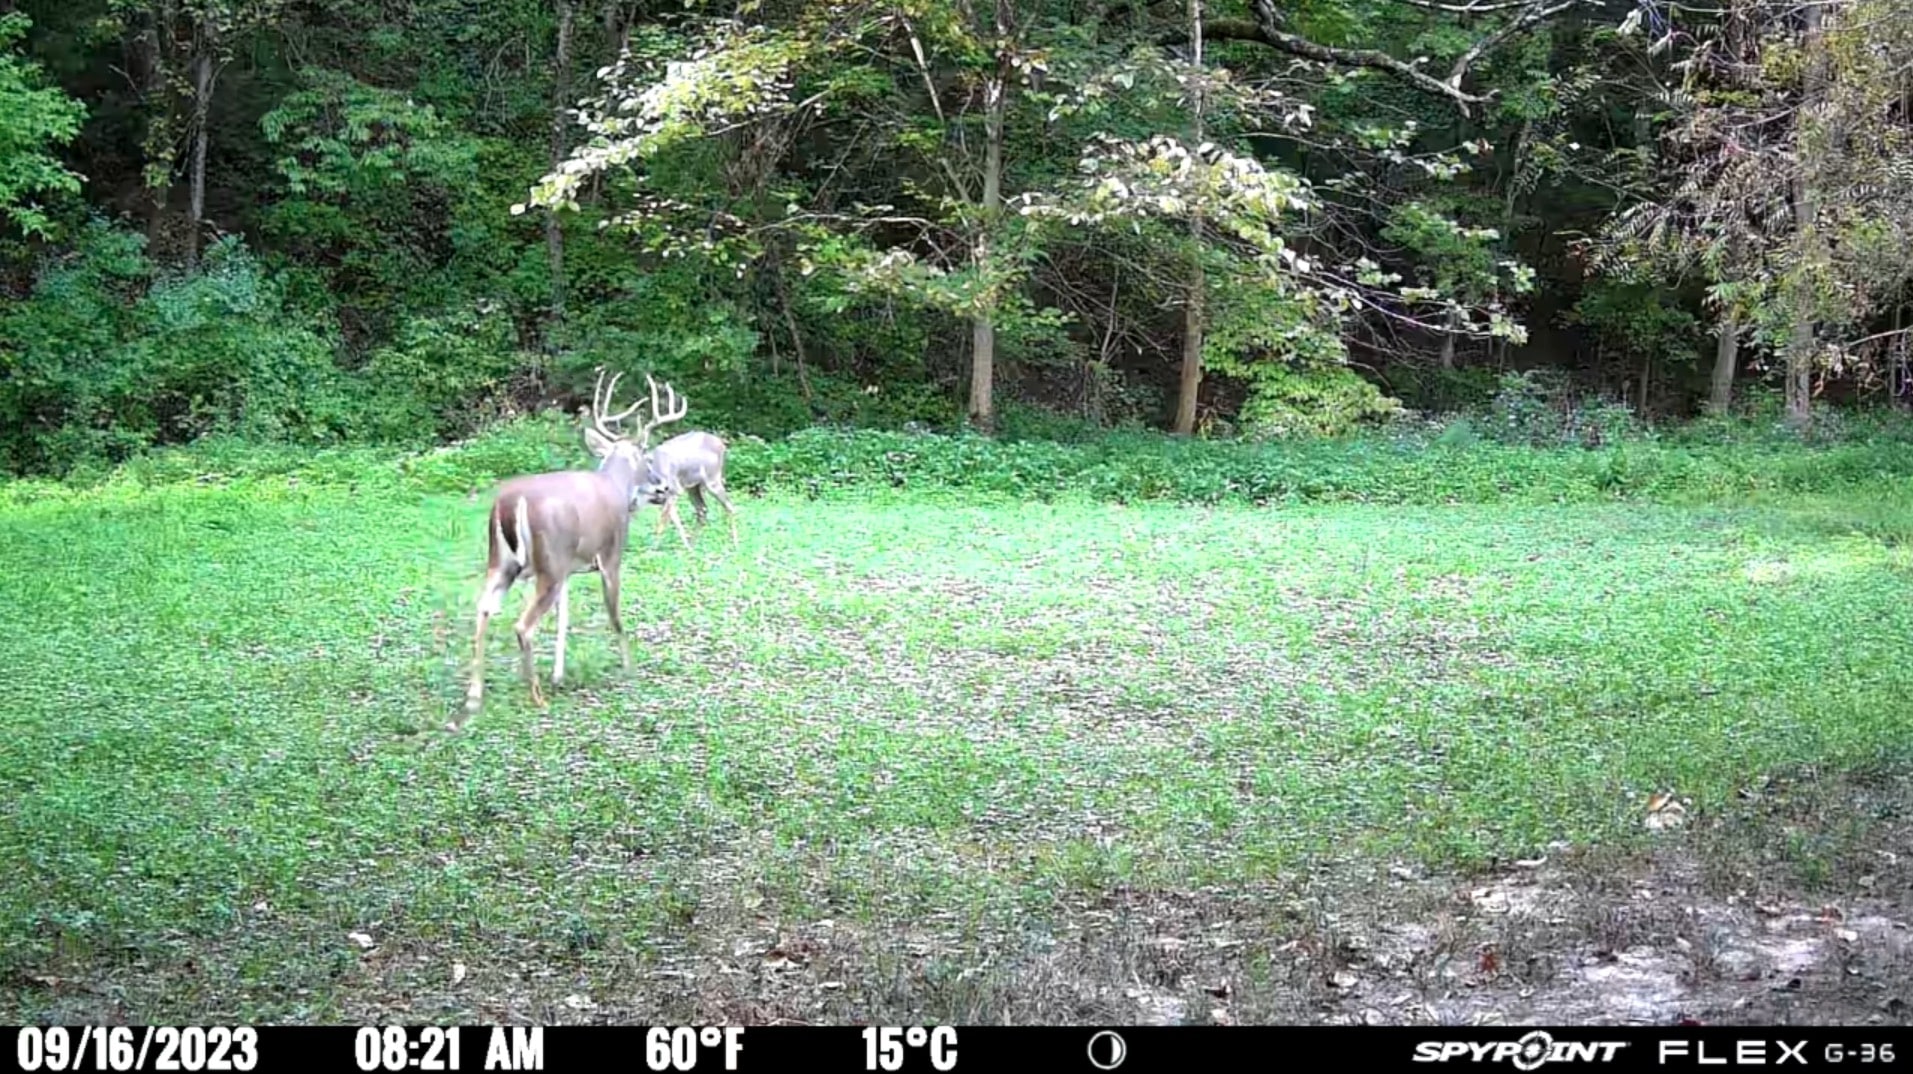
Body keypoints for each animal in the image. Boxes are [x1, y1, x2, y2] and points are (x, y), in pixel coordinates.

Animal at [452, 368, 686, 731]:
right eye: (647, 458)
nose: (662, 487)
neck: (617, 486)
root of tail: (509, 503)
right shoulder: (610, 557)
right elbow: (615, 615)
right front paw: (629, 667)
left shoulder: (570, 568)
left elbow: (564, 617)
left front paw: (559, 674)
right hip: (547, 563)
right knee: (523, 625)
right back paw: (535, 696)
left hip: (504, 561)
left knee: (484, 608)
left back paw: (475, 697)